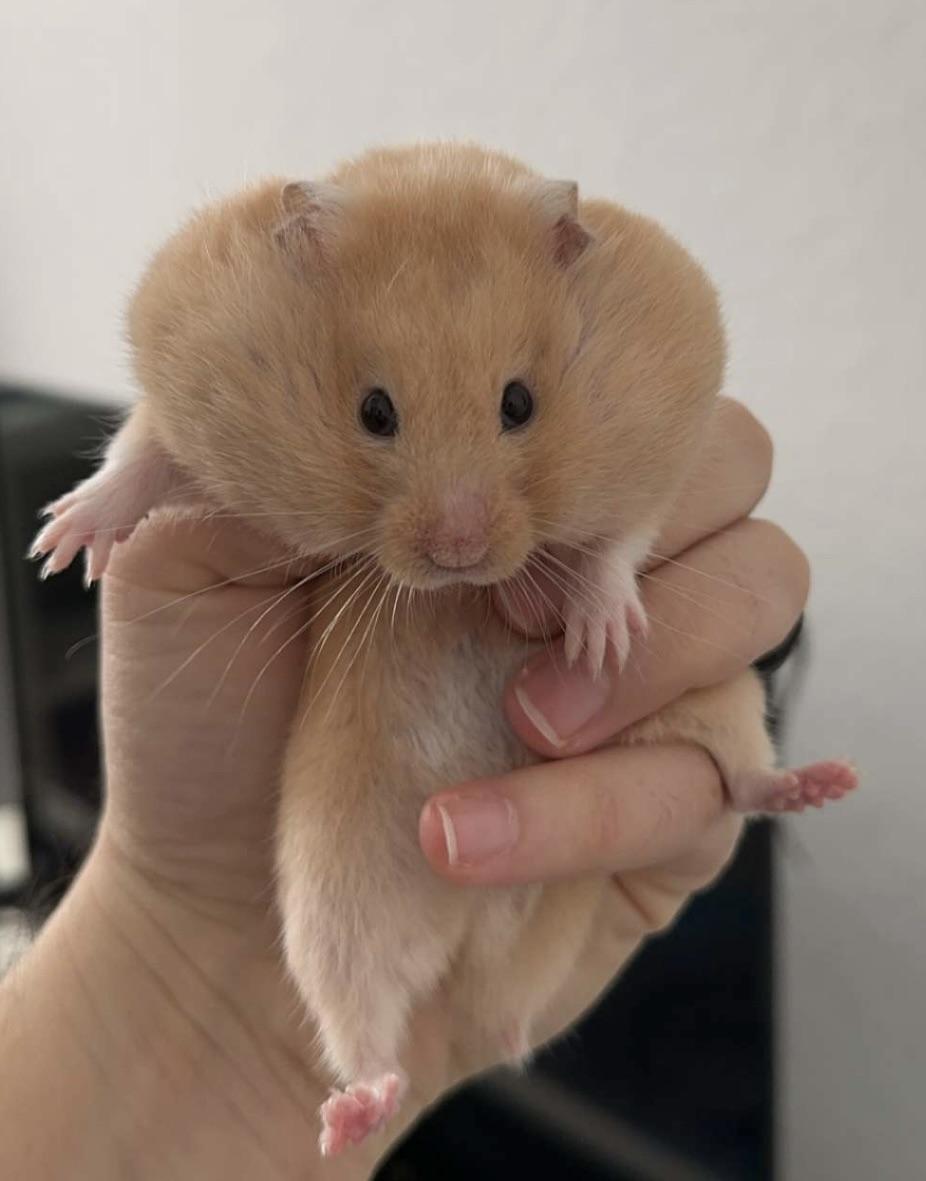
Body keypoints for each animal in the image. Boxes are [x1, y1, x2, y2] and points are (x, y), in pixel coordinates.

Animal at [32, 143, 857, 1156]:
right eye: (374, 412)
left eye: (520, 403)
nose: (462, 554)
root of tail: (481, 938)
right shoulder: (185, 391)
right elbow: (140, 456)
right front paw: (63, 544)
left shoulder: (666, 430)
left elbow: (619, 538)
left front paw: (600, 640)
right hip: (334, 904)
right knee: (366, 1025)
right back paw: (351, 1116)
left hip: (719, 711)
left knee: (743, 783)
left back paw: (820, 781)